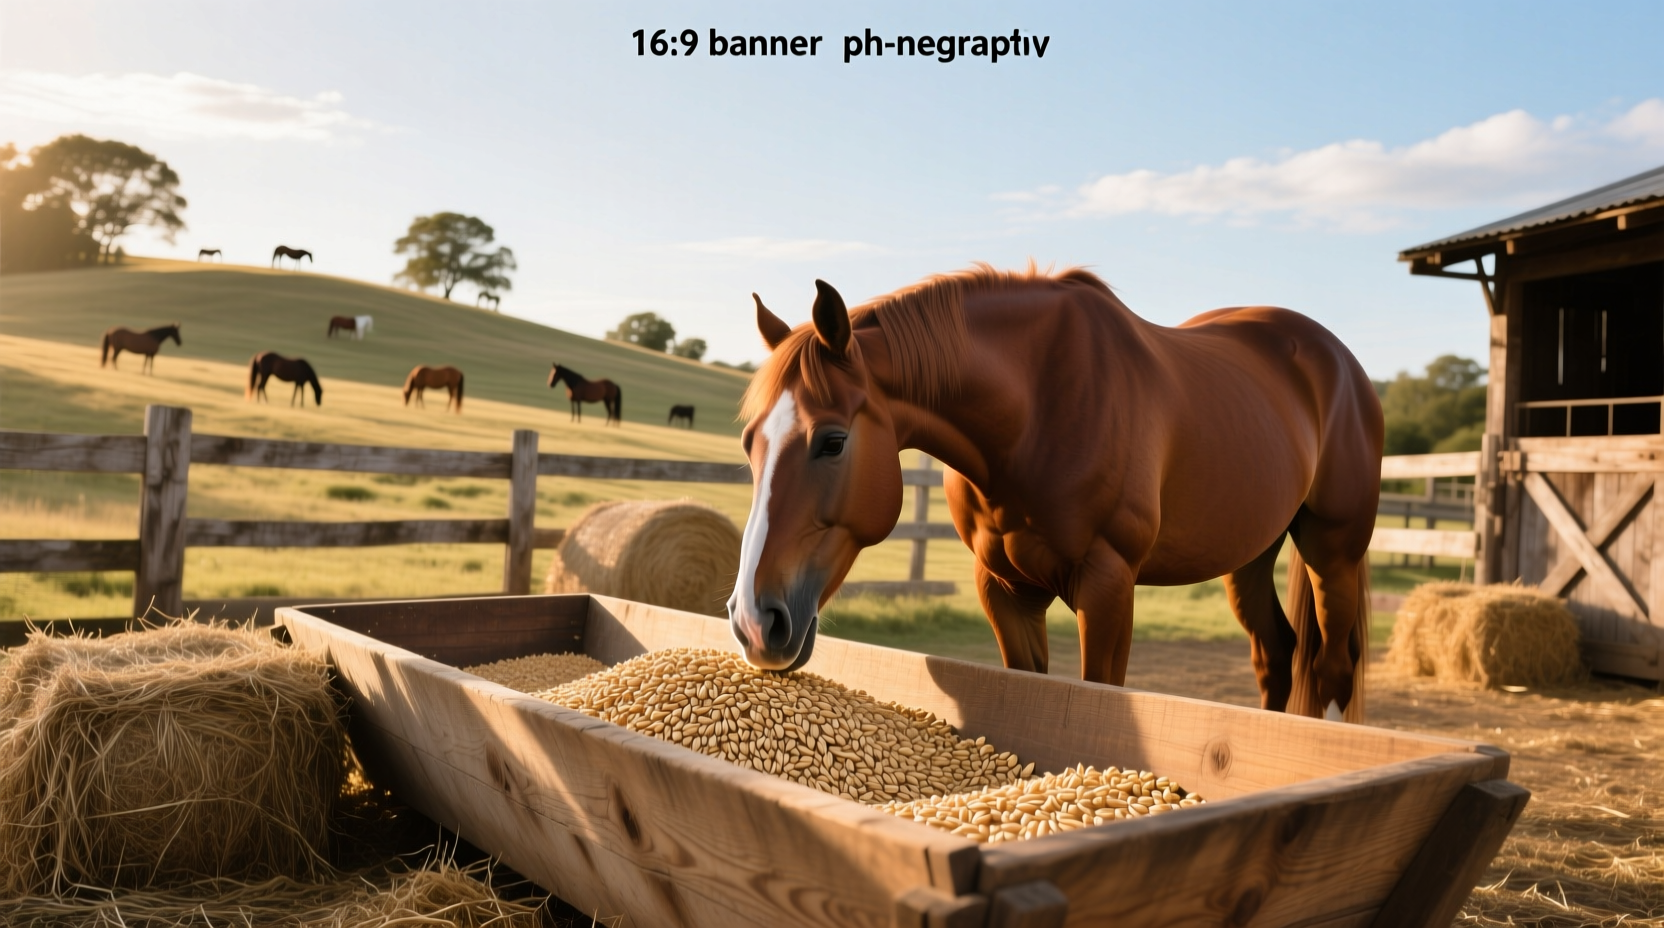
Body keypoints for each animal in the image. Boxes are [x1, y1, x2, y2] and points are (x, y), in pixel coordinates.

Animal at [728, 266, 1383, 723]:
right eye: (749, 442)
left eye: (833, 441)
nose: (755, 623)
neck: (1037, 411)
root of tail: (1338, 362)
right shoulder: (1004, 589)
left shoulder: (1108, 586)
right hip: (1249, 556)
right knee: (1276, 655)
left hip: (1331, 552)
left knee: (1331, 668)